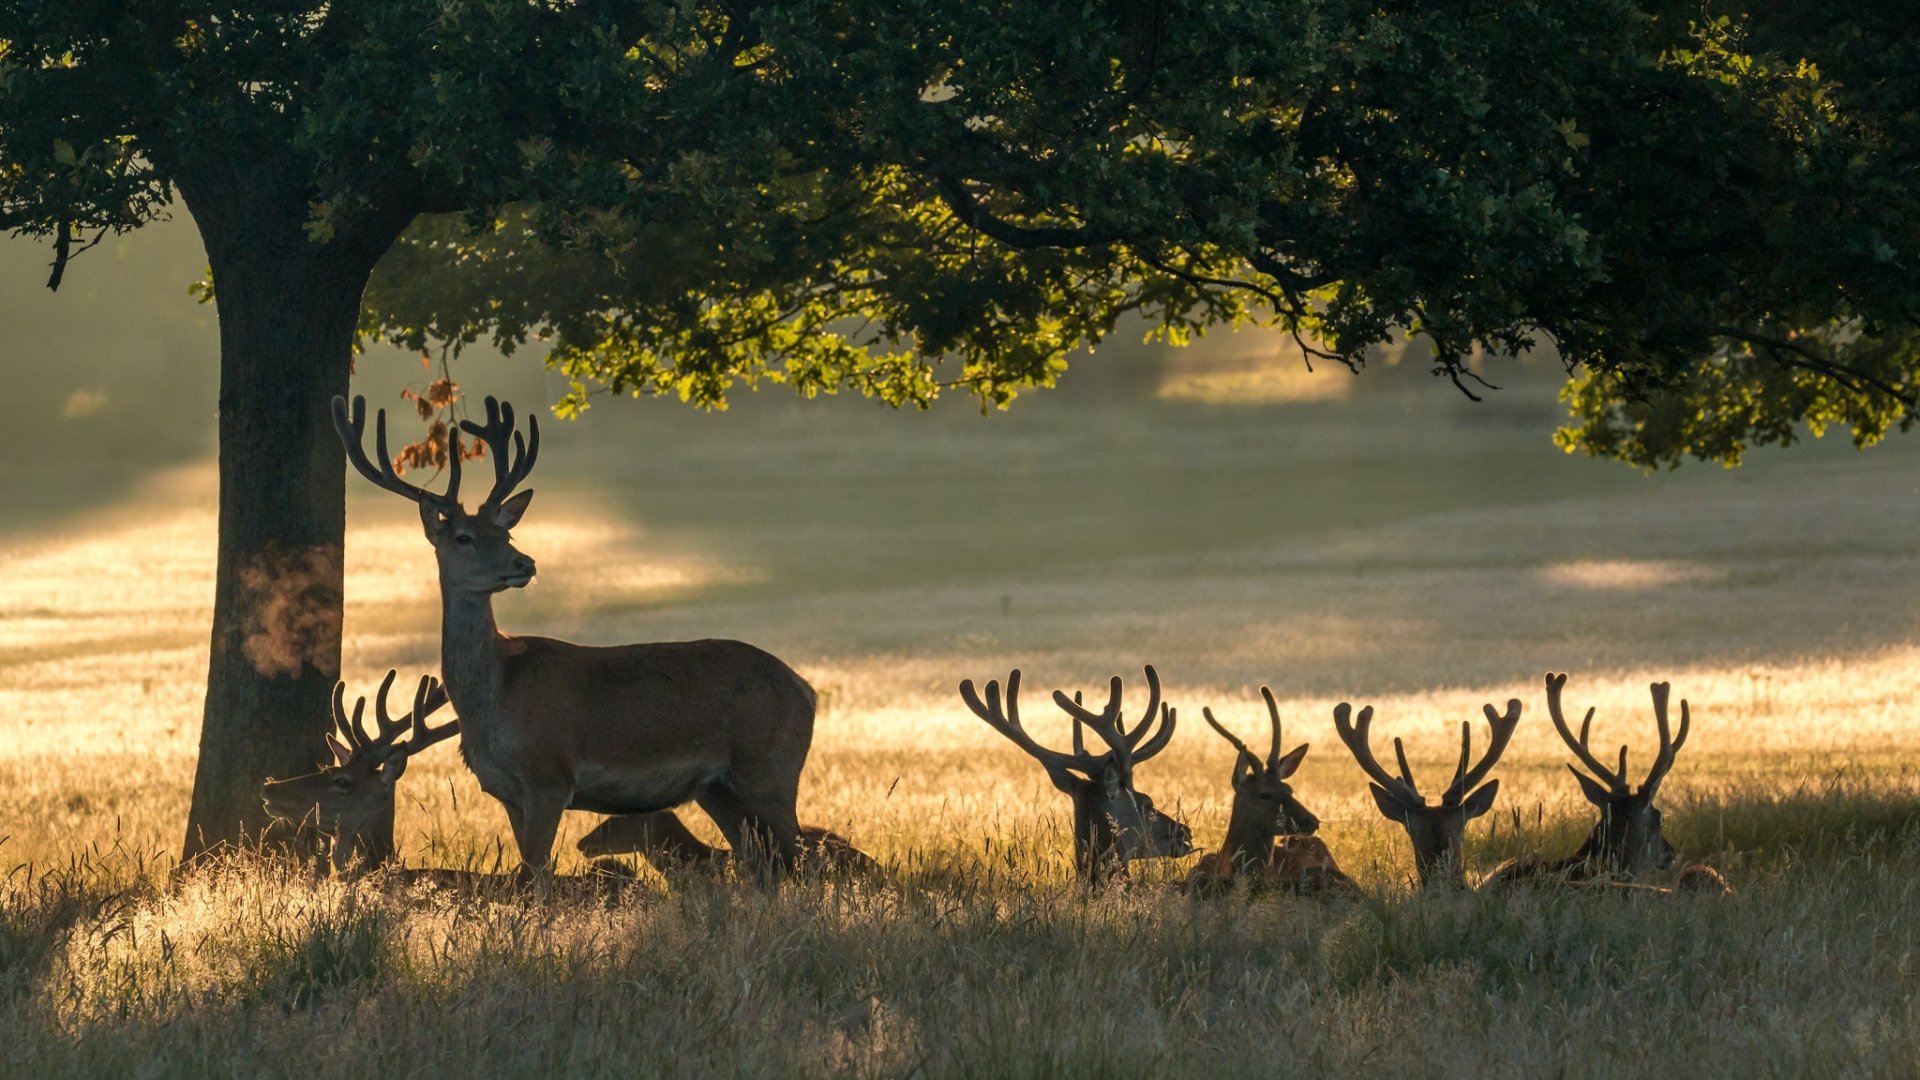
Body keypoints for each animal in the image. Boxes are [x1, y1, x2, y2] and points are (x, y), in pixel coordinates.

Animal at [333, 394, 817, 879]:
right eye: (464, 537)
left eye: (505, 532)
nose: (524, 563)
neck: (495, 702)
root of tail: (806, 689)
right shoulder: (508, 792)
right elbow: (530, 871)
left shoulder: (549, 777)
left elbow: (536, 874)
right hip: (717, 788)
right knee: (762, 864)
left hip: (770, 768)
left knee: (800, 860)